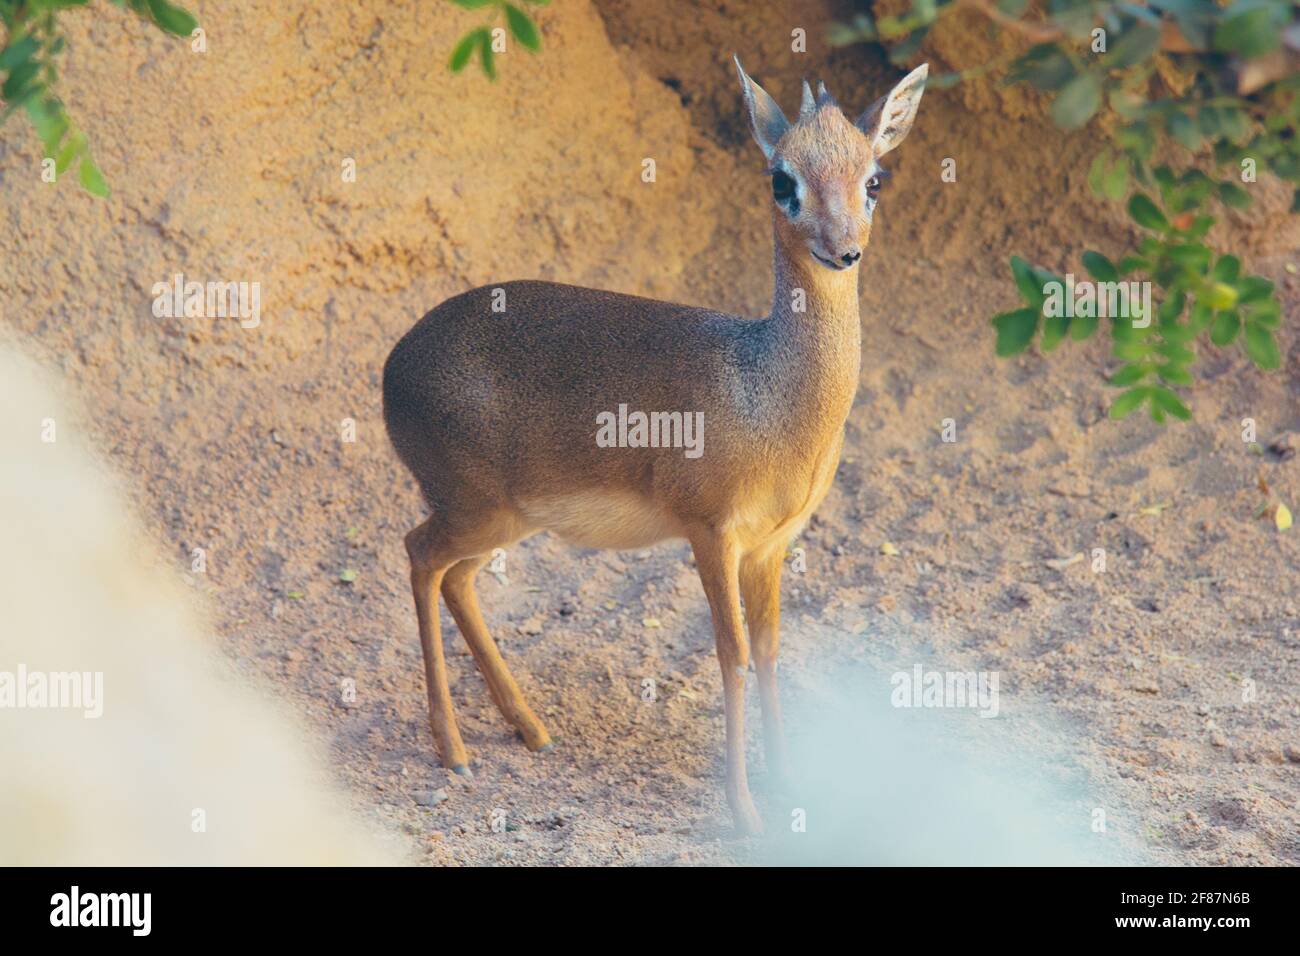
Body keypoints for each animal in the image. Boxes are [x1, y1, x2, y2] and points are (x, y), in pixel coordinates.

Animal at [382, 57, 928, 836]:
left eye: (874, 177)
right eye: (782, 180)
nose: (844, 249)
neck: (765, 391)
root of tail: (392, 365)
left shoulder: (771, 545)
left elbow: (770, 650)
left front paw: (790, 783)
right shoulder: (711, 533)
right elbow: (731, 656)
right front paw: (744, 810)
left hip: (508, 521)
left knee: (455, 578)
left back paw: (532, 729)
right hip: (474, 512)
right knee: (420, 557)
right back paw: (454, 750)